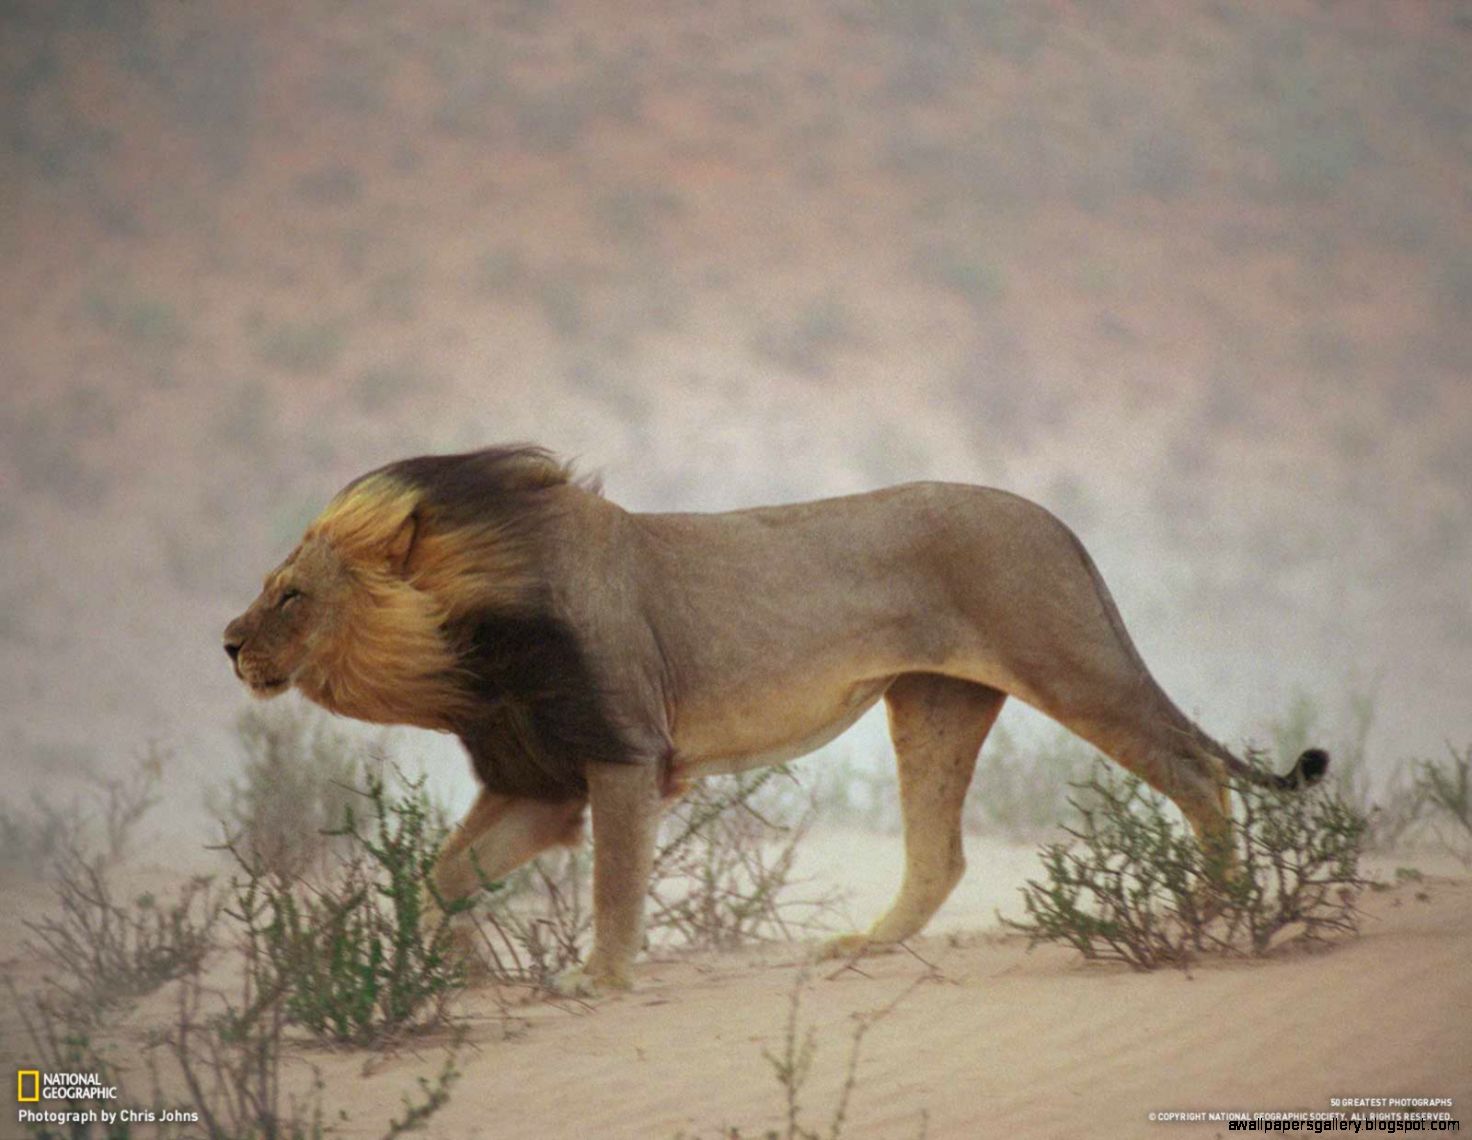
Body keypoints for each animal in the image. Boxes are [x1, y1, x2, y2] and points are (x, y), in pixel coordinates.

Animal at [223, 445, 1327, 994]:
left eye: (290, 597)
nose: (226, 642)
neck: (464, 649)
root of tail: (1054, 521)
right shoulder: (539, 785)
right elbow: (444, 877)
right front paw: (456, 971)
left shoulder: (621, 757)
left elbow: (614, 887)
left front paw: (596, 981)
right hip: (933, 700)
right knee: (941, 856)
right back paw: (865, 949)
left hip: (1072, 665)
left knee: (1198, 773)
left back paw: (1211, 909)